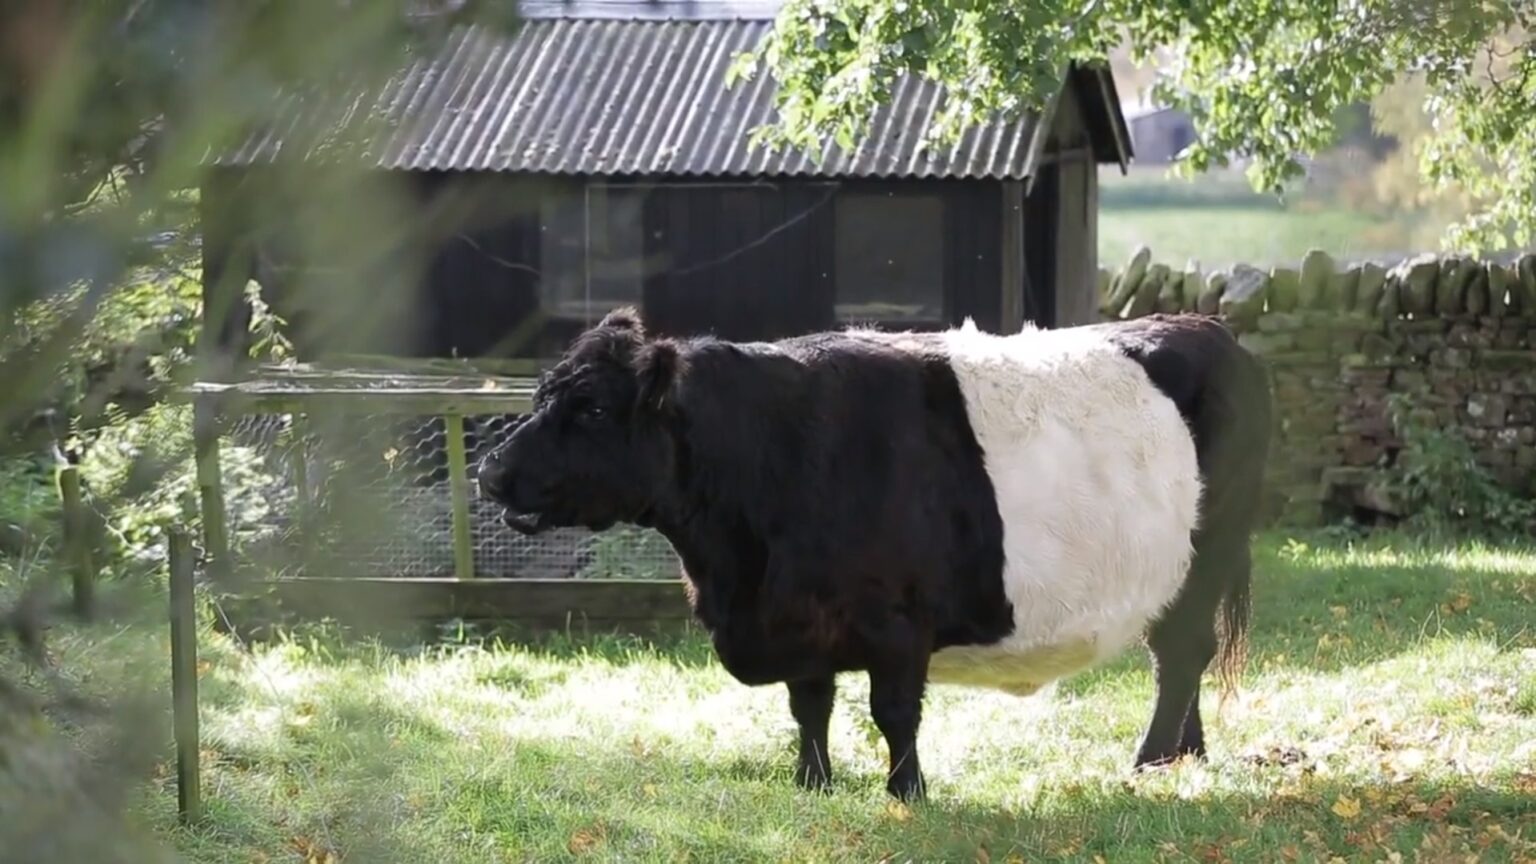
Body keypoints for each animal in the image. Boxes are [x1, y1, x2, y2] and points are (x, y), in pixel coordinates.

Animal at [475, 307, 1273, 801]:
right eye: (541, 398)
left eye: (592, 410)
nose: (490, 470)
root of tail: (1206, 327)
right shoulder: (801, 621)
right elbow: (809, 706)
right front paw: (813, 784)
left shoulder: (895, 624)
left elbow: (893, 713)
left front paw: (906, 793)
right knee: (1177, 656)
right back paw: (1184, 756)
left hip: (1206, 556)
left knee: (1181, 653)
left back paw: (1148, 761)